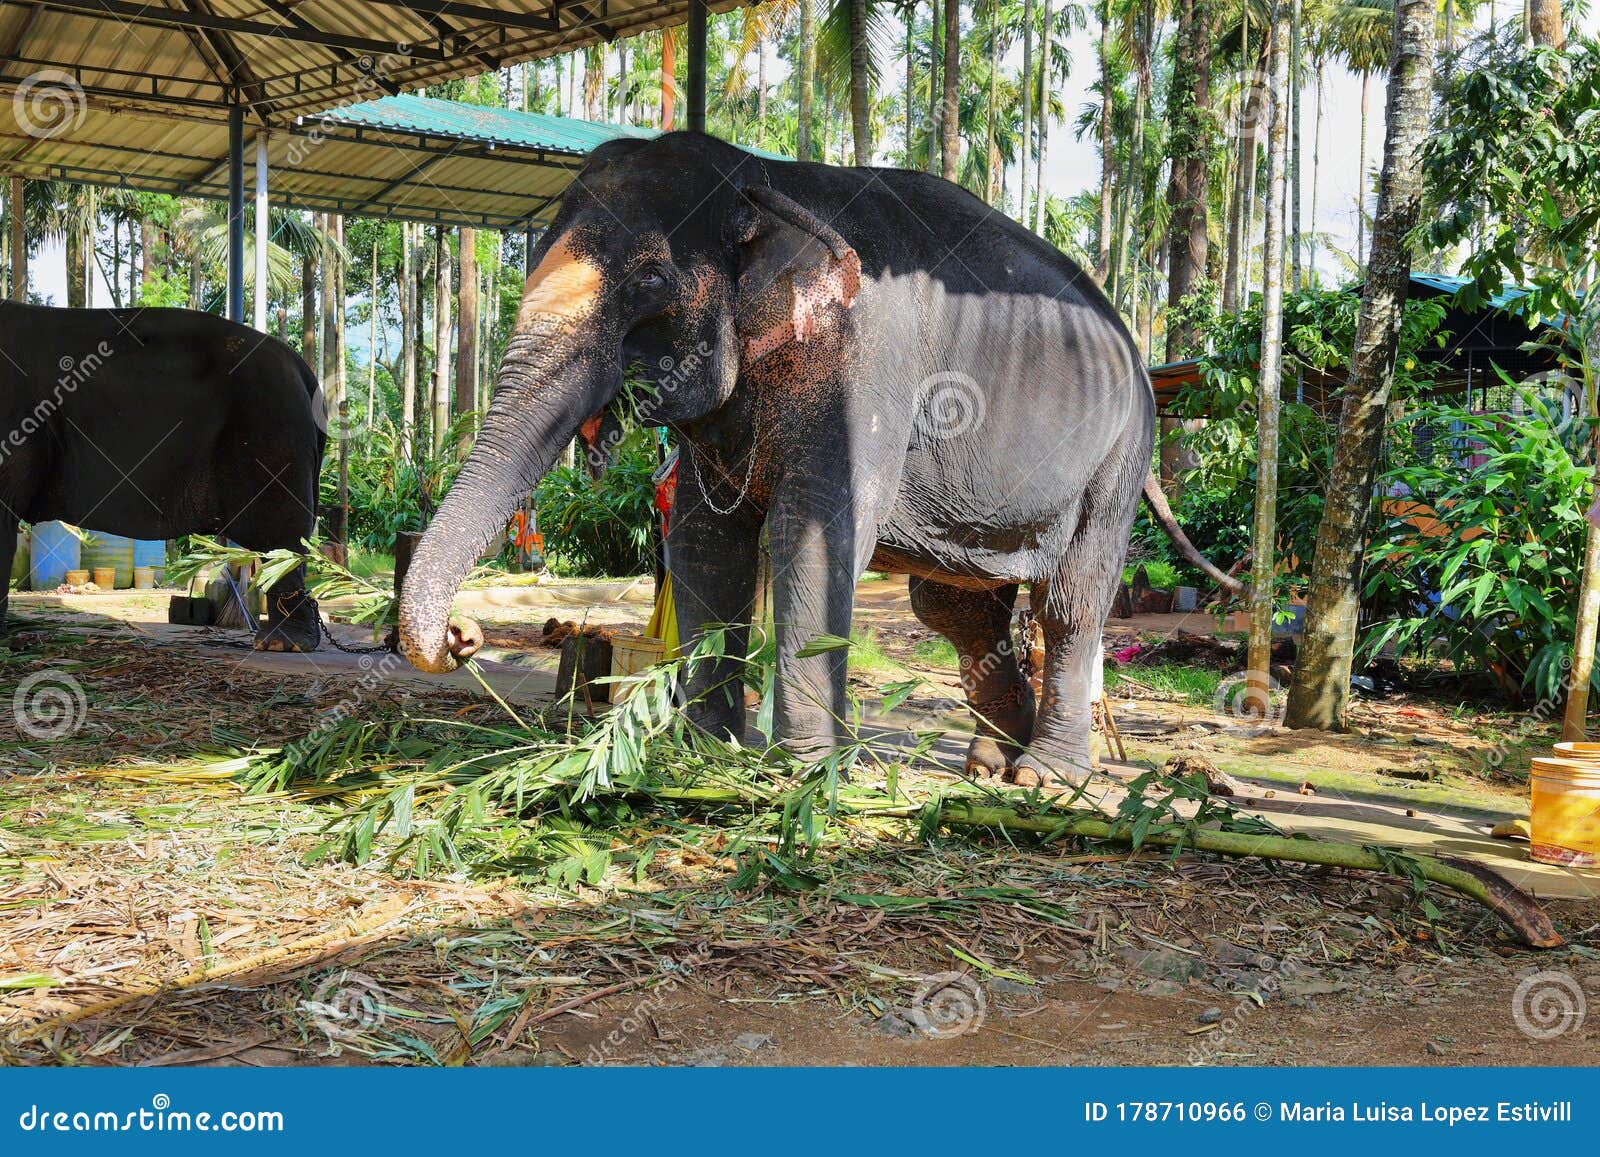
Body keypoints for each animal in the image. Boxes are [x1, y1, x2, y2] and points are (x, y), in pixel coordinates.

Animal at [398, 132, 1238, 786]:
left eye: (651, 278)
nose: (463, 636)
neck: (762, 179)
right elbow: (706, 543)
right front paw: (706, 754)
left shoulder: (869, 365)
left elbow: (811, 529)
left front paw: (805, 771)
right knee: (958, 609)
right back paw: (987, 766)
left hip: (1119, 457)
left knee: (1070, 599)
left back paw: (1046, 776)